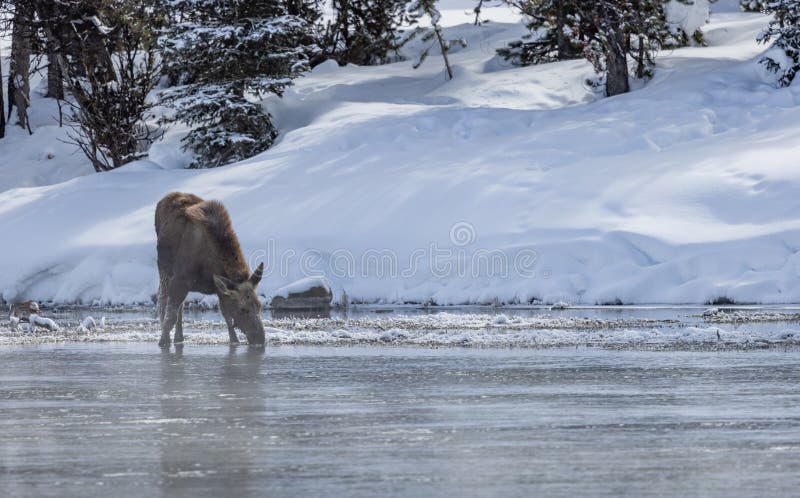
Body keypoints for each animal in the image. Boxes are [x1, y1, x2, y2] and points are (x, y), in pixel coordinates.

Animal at [155, 192, 265, 347]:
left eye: (260, 306)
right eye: (243, 309)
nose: (260, 339)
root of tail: (167, 197)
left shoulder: (219, 288)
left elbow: (226, 316)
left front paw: (234, 341)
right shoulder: (180, 280)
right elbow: (171, 315)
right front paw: (163, 341)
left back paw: (179, 337)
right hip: (164, 269)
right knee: (163, 300)